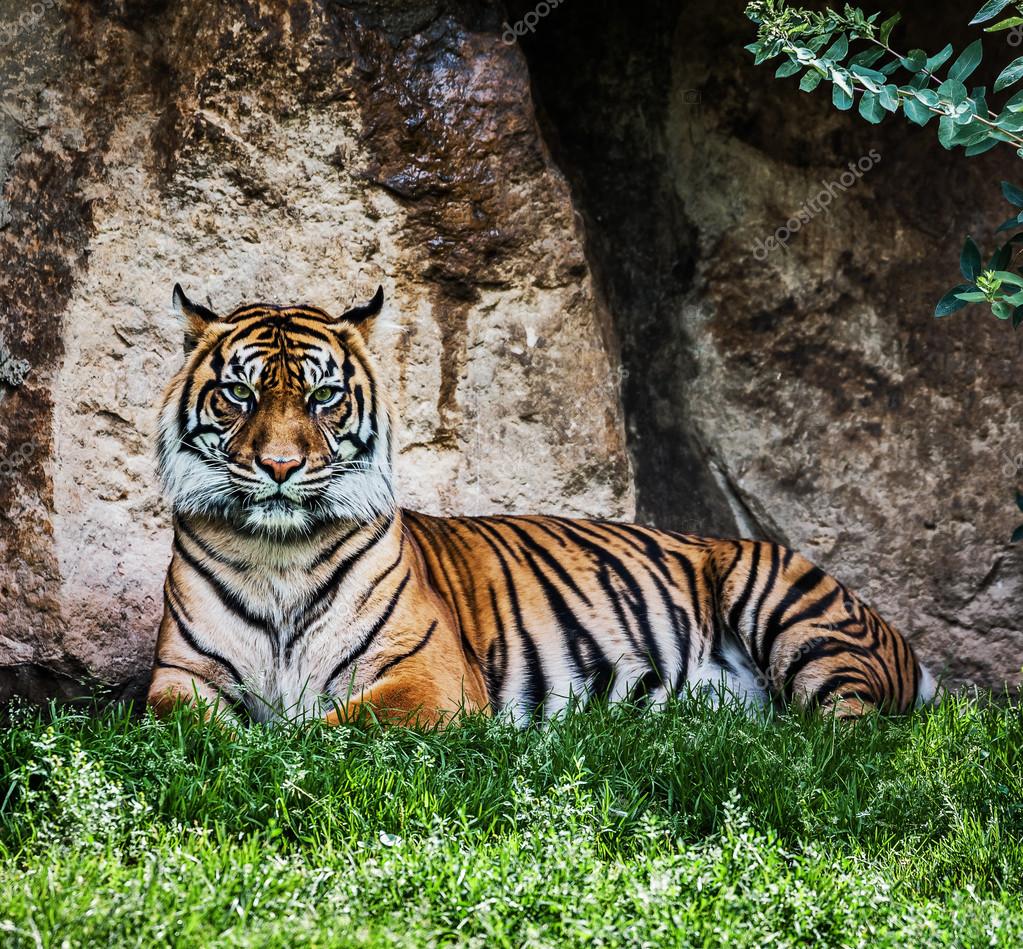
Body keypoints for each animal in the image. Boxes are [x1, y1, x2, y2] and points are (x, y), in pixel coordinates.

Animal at [149, 284, 938, 727]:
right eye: (239, 394)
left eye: (322, 397)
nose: (281, 466)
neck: (278, 555)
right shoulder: (179, 677)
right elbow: (189, 727)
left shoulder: (425, 677)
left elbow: (328, 731)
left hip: (780, 596)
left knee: (850, 730)